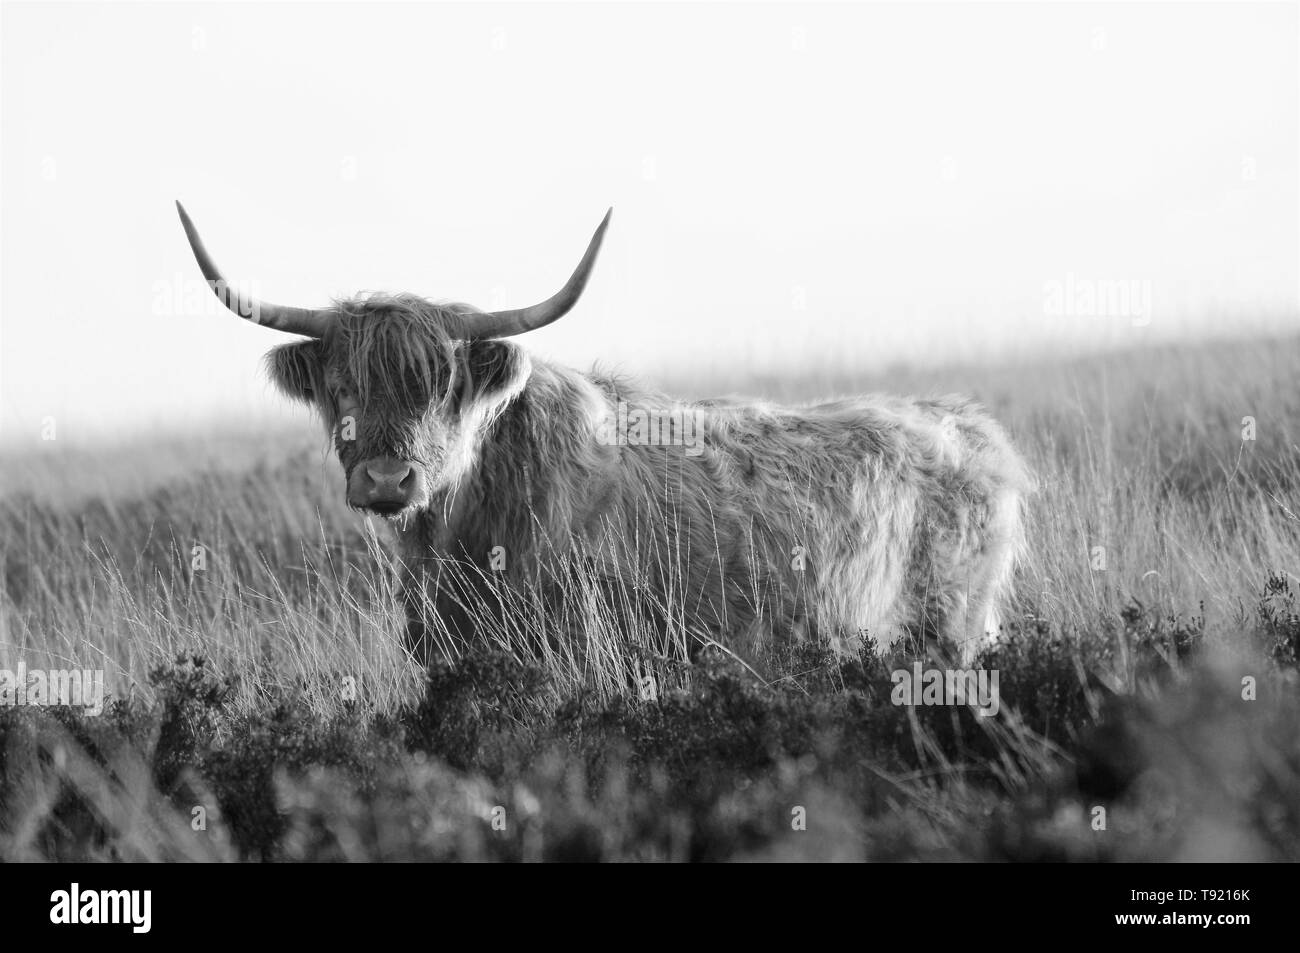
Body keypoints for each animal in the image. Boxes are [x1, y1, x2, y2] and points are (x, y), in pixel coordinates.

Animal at [176, 202, 1031, 670]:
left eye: (445, 386)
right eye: (343, 386)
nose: (389, 480)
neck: (458, 538)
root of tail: (972, 427)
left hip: (950, 628)